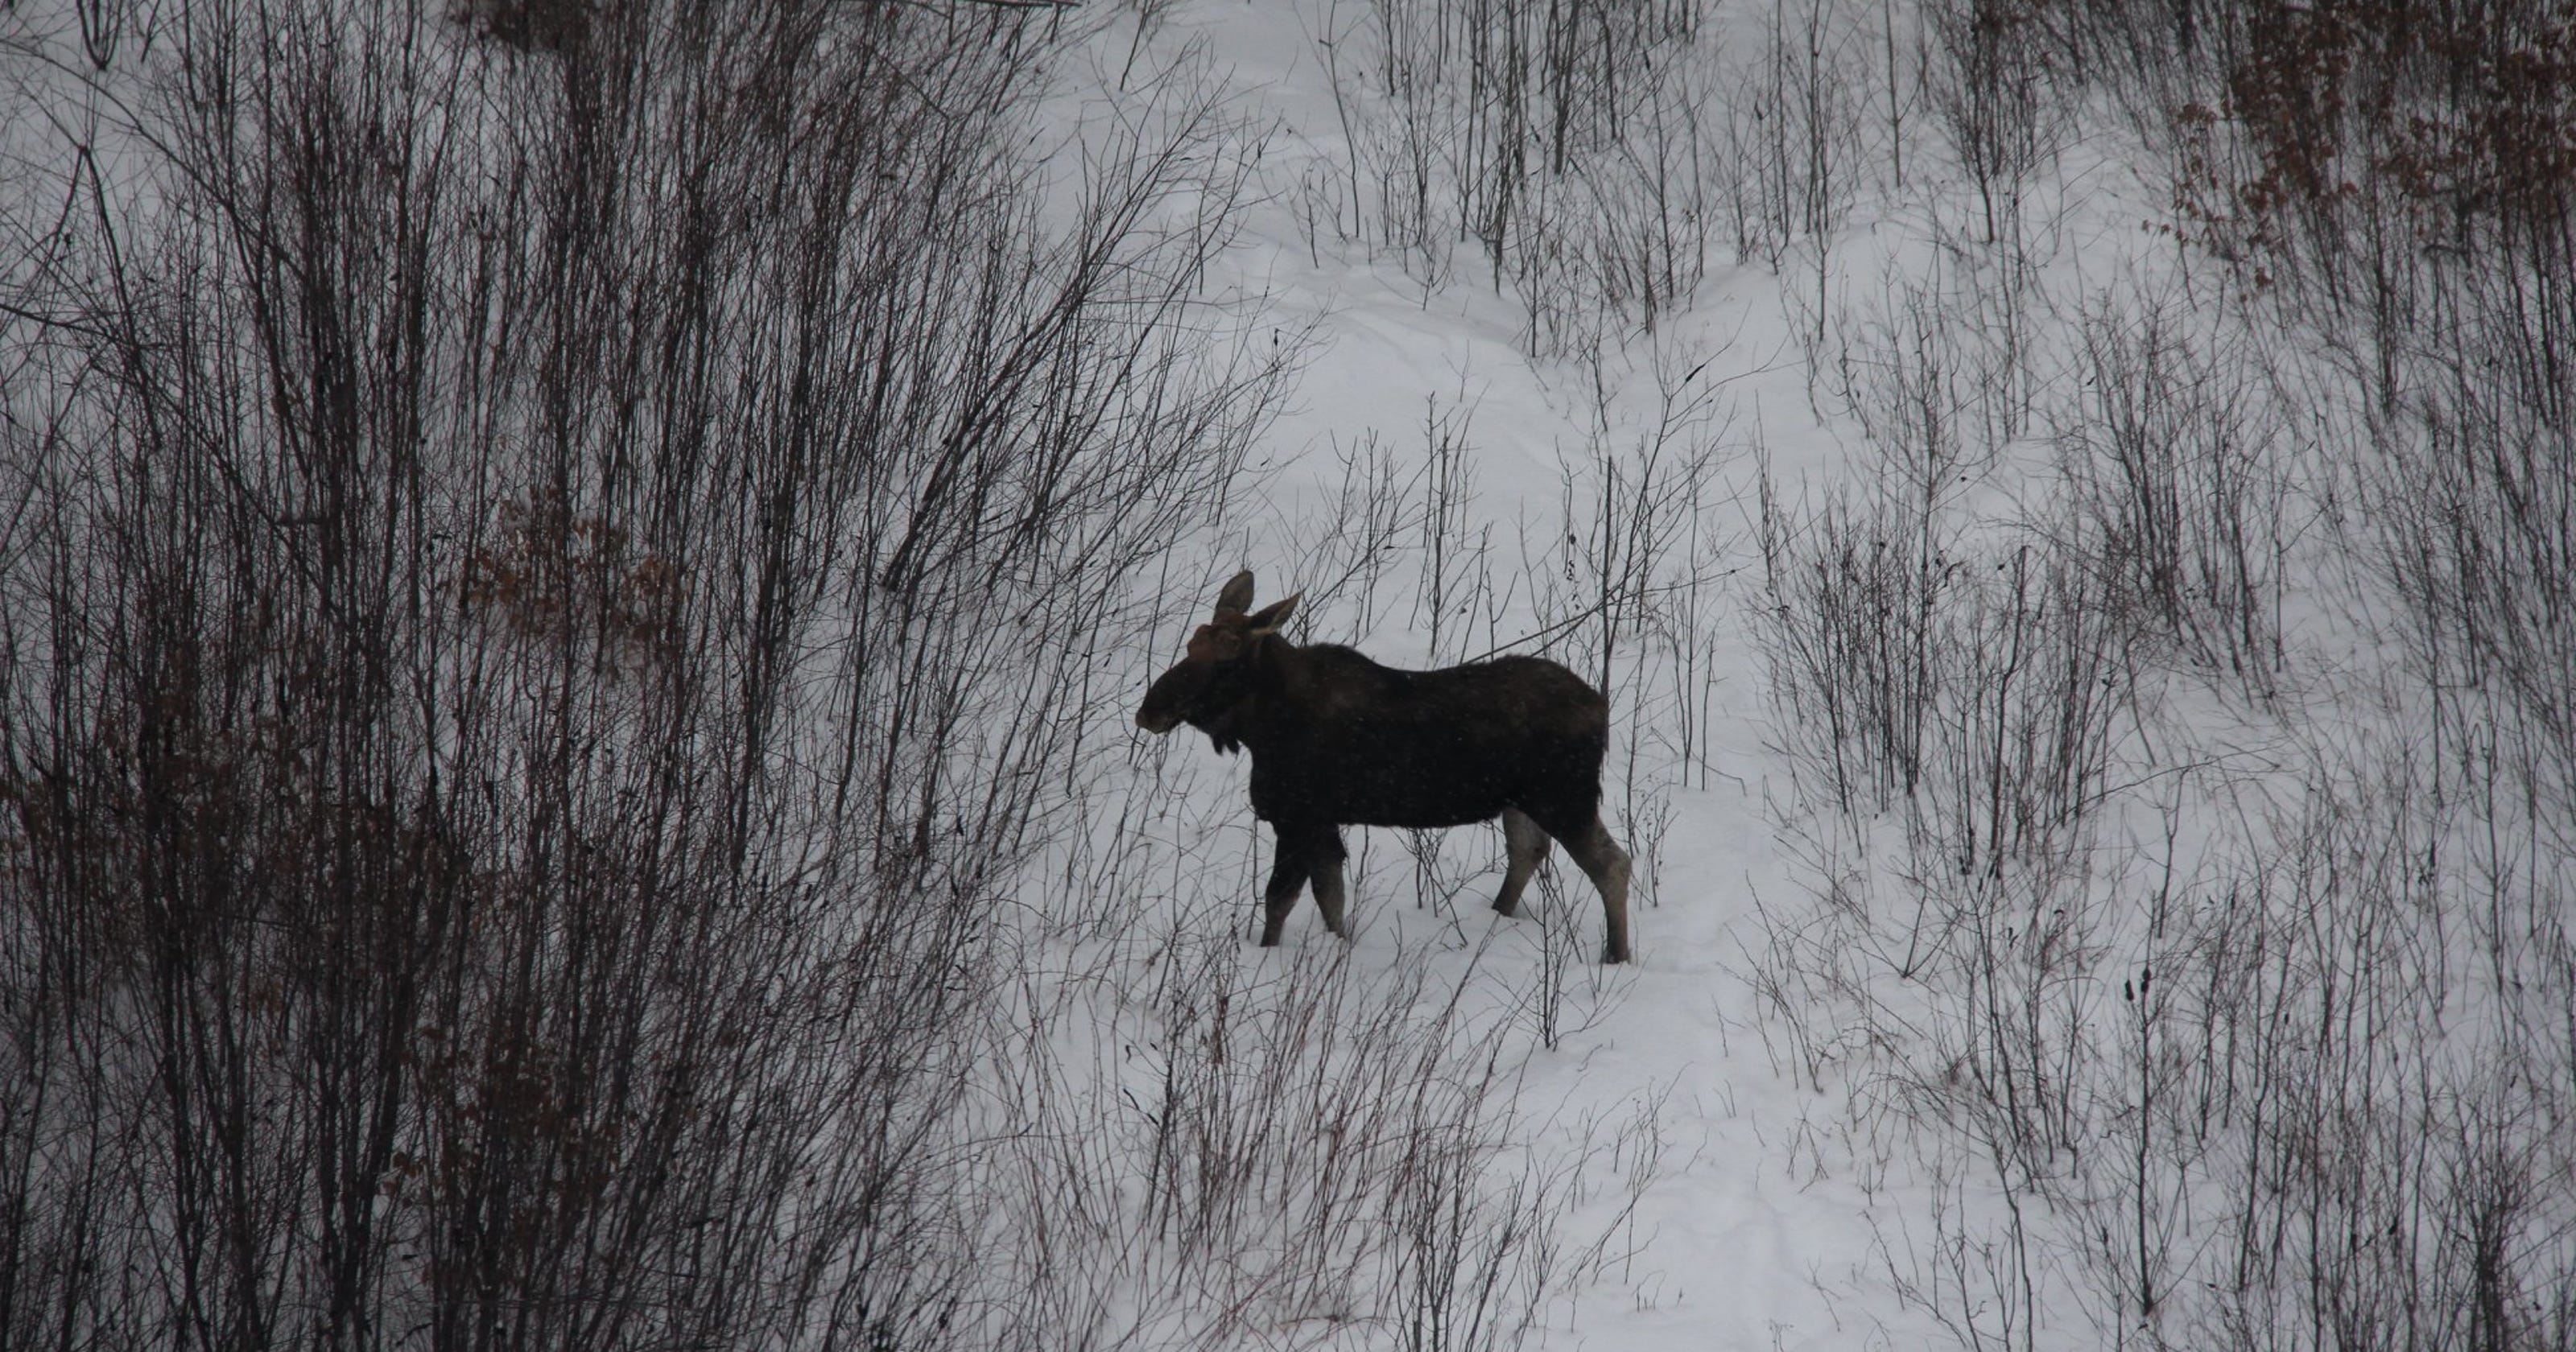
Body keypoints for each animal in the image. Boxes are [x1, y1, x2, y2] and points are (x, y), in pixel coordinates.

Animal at [1135, 571, 1632, 963]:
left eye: (1226, 660)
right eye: (1189, 644)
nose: (1149, 710)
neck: (1263, 728)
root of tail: (1602, 708)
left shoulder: (1297, 817)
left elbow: (1279, 901)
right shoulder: (1321, 820)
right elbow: (1330, 897)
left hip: (1564, 798)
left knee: (1613, 863)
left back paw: (1617, 954)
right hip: (1523, 801)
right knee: (1528, 851)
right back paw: (1498, 917)